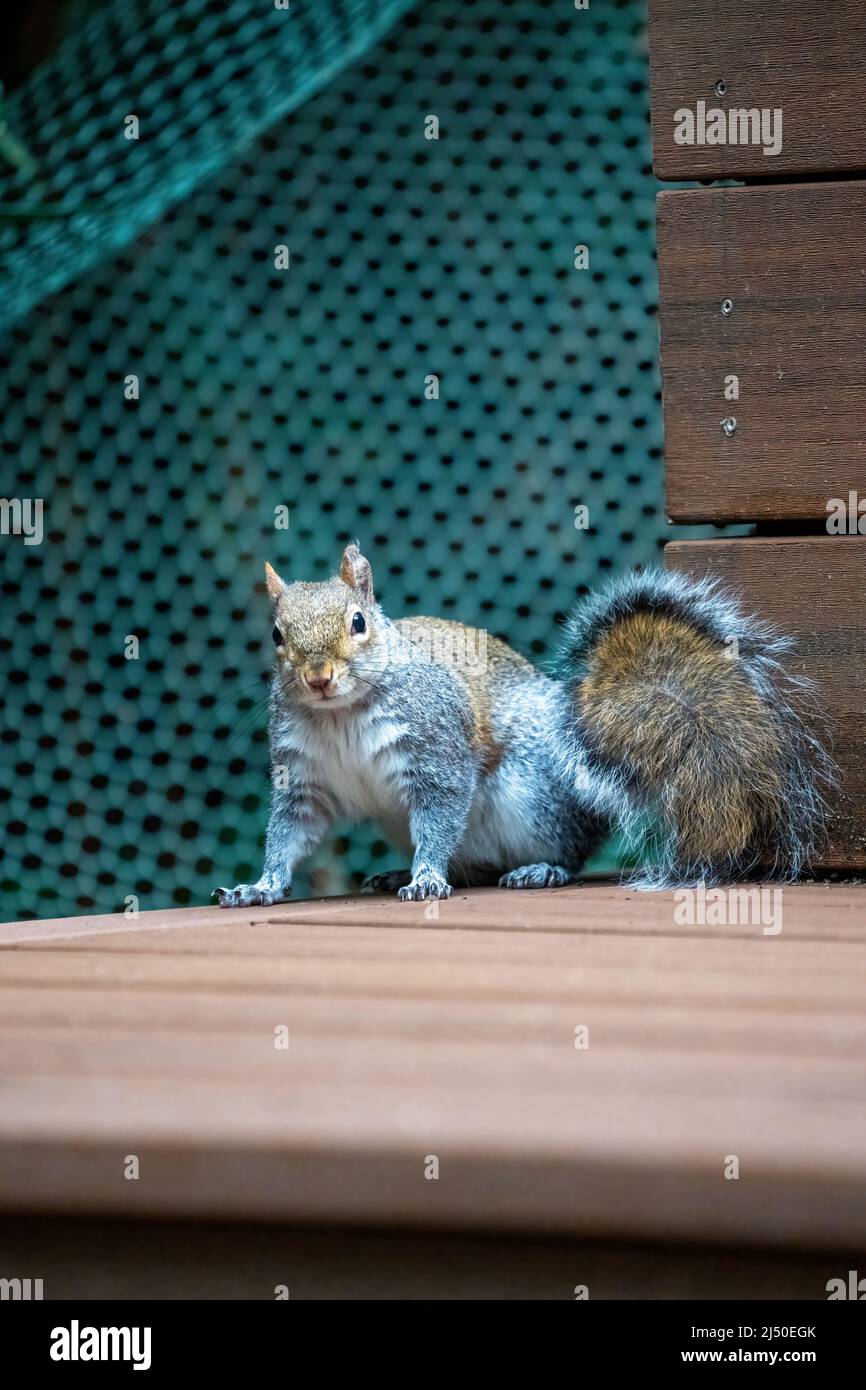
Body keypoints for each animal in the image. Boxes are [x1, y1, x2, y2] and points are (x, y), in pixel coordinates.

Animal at [215, 543, 829, 906]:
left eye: (359, 622)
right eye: (277, 635)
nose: (318, 677)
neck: (338, 713)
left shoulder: (440, 752)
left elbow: (440, 814)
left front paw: (427, 876)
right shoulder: (303, 780)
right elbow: (289, 833)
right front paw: (260, 885)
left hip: (533, 792)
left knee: (565, 852)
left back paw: (539, 871)